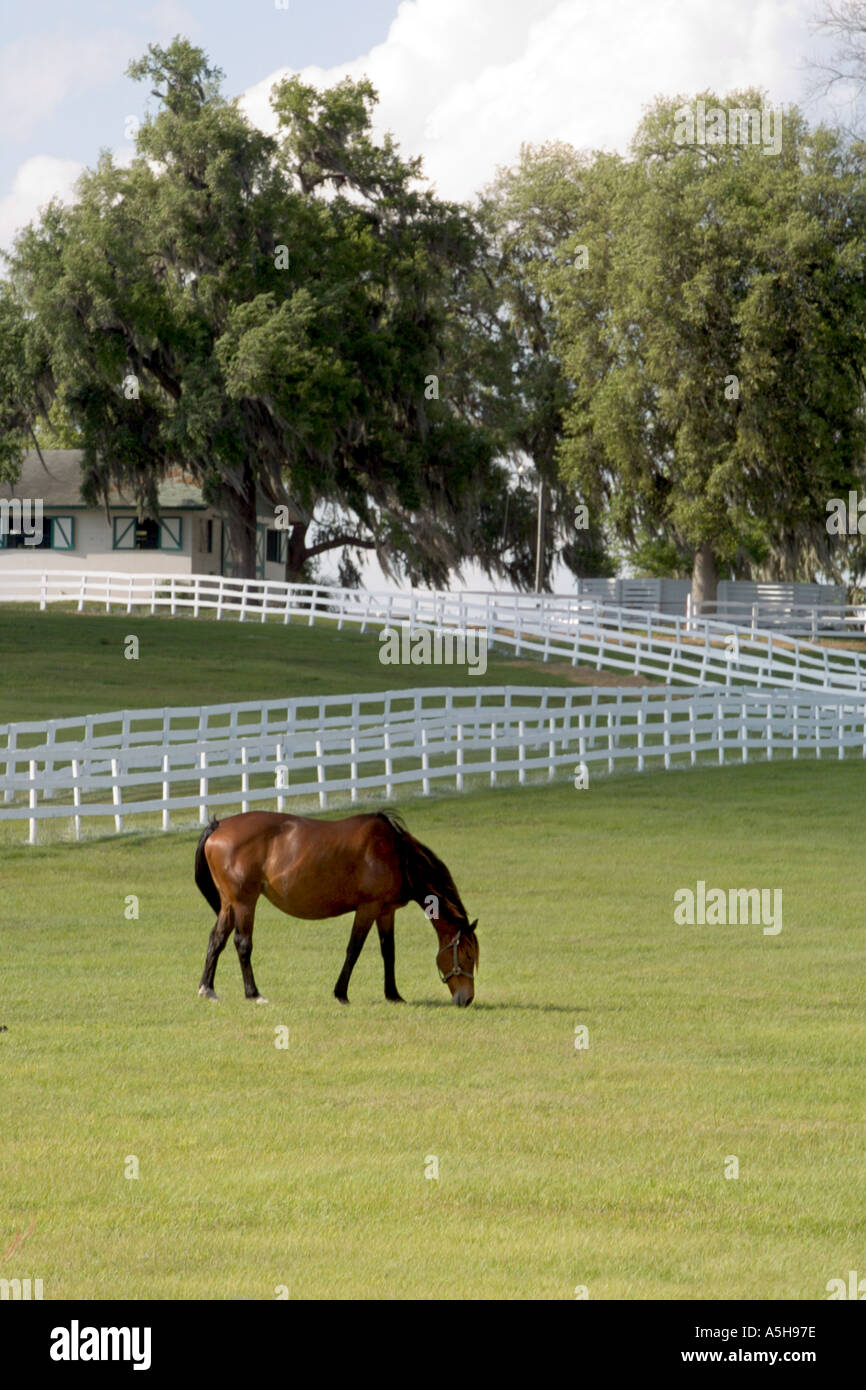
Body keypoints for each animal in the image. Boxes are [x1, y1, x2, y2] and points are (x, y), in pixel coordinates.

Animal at [194, 808, 479, 1007]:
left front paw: (393, 994)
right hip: (244, 902)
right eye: (466, 956)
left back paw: (207, 989)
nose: (466, 999)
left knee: (216, 939)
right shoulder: (368, 908)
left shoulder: (386, 911)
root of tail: (218, 826)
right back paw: (253, 993)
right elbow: (354, 949)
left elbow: (389, 952)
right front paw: (341, 993)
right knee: (242, 944)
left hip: (229, 904)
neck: (396, 852)